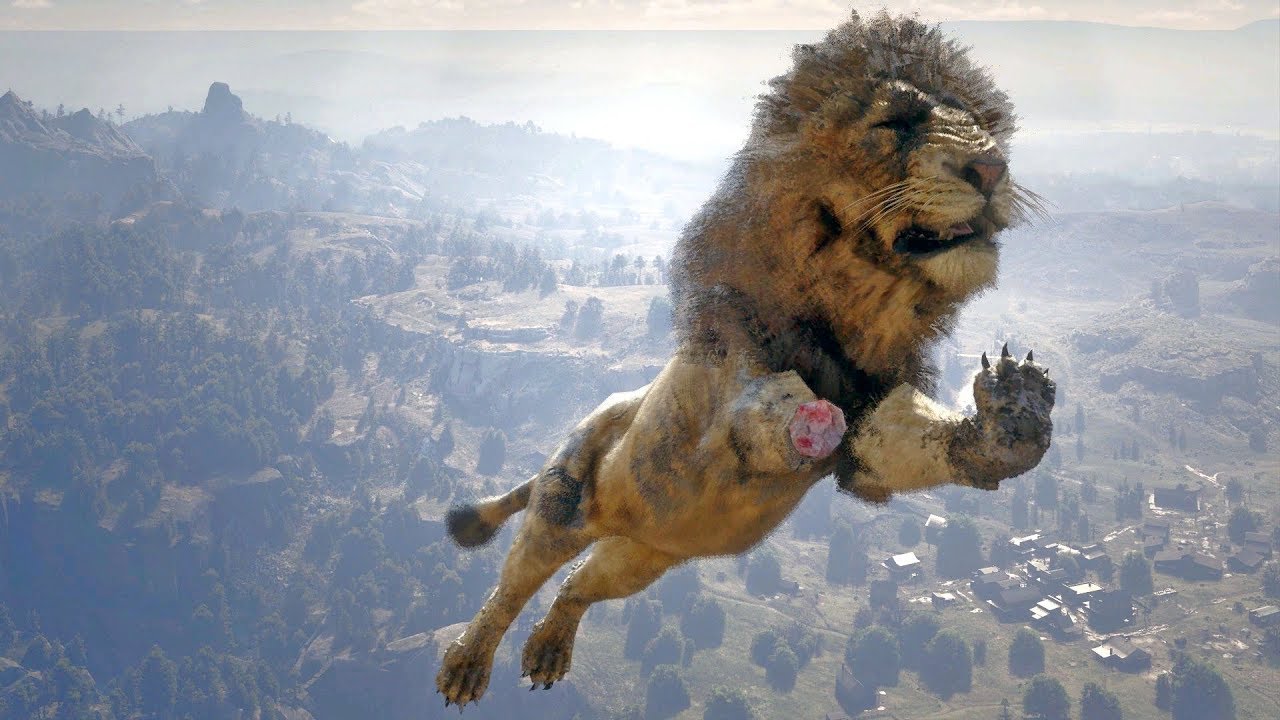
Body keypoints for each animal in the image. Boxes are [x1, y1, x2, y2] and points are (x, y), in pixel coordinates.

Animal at [436, 11, 1054, 706]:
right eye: (894, 123)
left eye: (978, 121)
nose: (991, 168)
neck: (860, 299)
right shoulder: (725, 376)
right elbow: (759, 406)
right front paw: (803, 418)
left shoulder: (873, 428)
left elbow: (920, 443)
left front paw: (1014, 411)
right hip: (566, 498)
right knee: (516, 582)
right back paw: (466, 664)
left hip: (642, 554)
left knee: (577, 587)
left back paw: (548, 649)